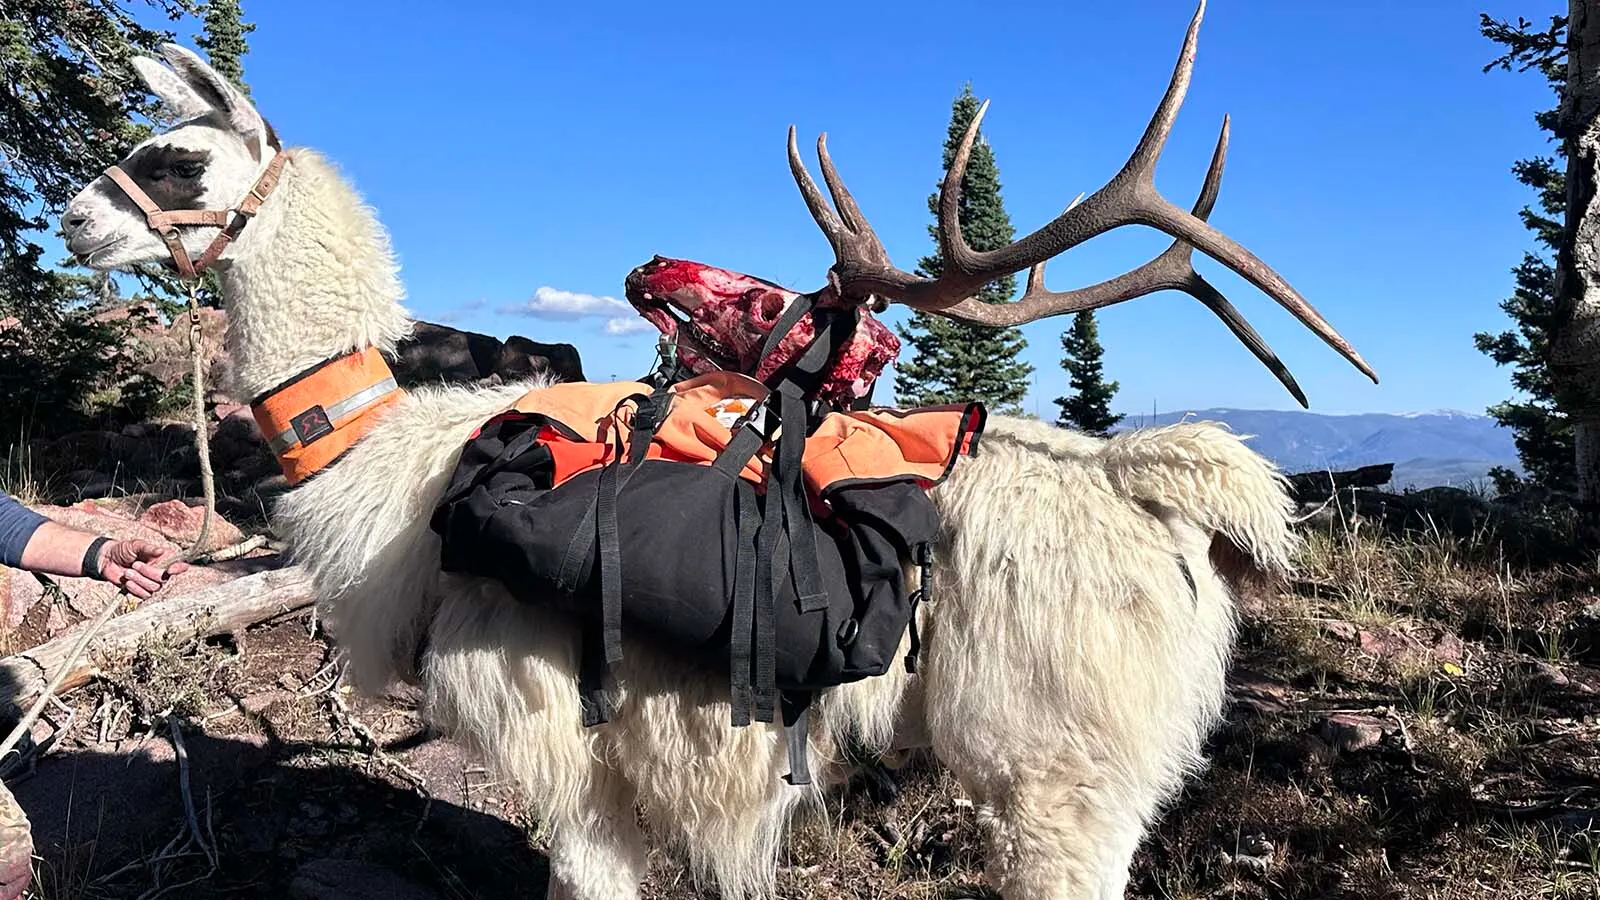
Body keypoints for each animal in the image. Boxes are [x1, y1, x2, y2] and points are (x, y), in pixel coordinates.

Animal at [56, 3, 1371, 897]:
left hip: (1060, 775)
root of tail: (1166, 494)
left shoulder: (566, 759)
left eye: (178, 157)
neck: (393, 469)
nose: (72, 219)